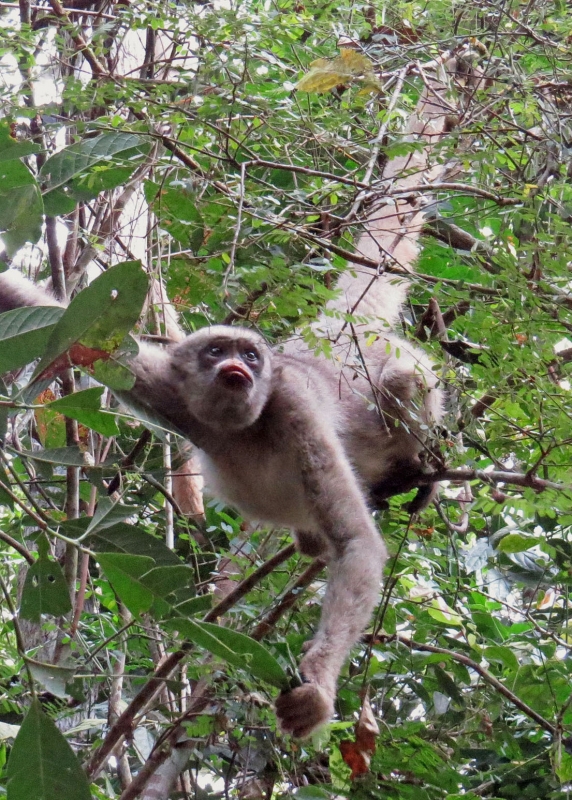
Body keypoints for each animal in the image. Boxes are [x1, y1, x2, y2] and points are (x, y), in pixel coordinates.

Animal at [0, 67, 454, 738]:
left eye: (251, 358)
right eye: (217, 352)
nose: (238, 367)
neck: (244, 428)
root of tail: (334, 328)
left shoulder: (292, 406)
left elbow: (360, 547)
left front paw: (319, 687)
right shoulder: (168, 387)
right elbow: (59, 323)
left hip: (396, 366)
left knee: (402, 389)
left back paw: (423, 473)